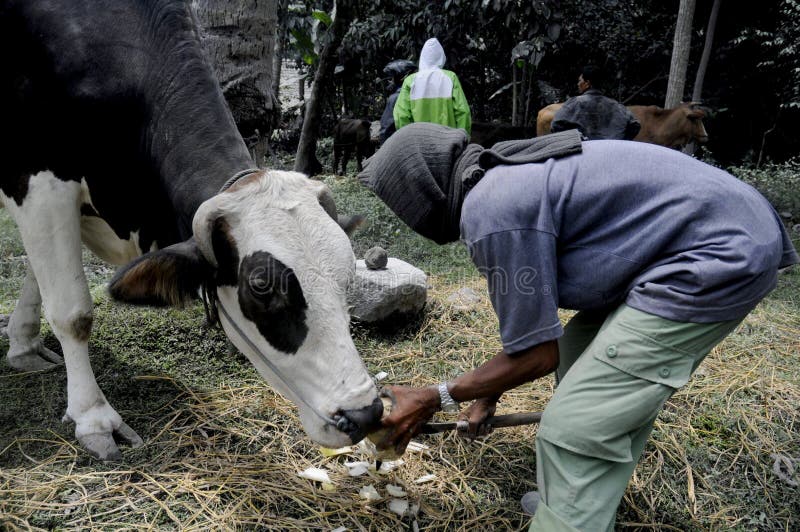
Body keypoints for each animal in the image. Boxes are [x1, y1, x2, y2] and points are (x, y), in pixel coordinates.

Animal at [0, 0, 382, 461]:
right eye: (262, 288)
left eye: (347, 278)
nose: (365, 414)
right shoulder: (38, 180)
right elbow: (73, 312)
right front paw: (94, 418)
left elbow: (37, 277)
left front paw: (23, 344)